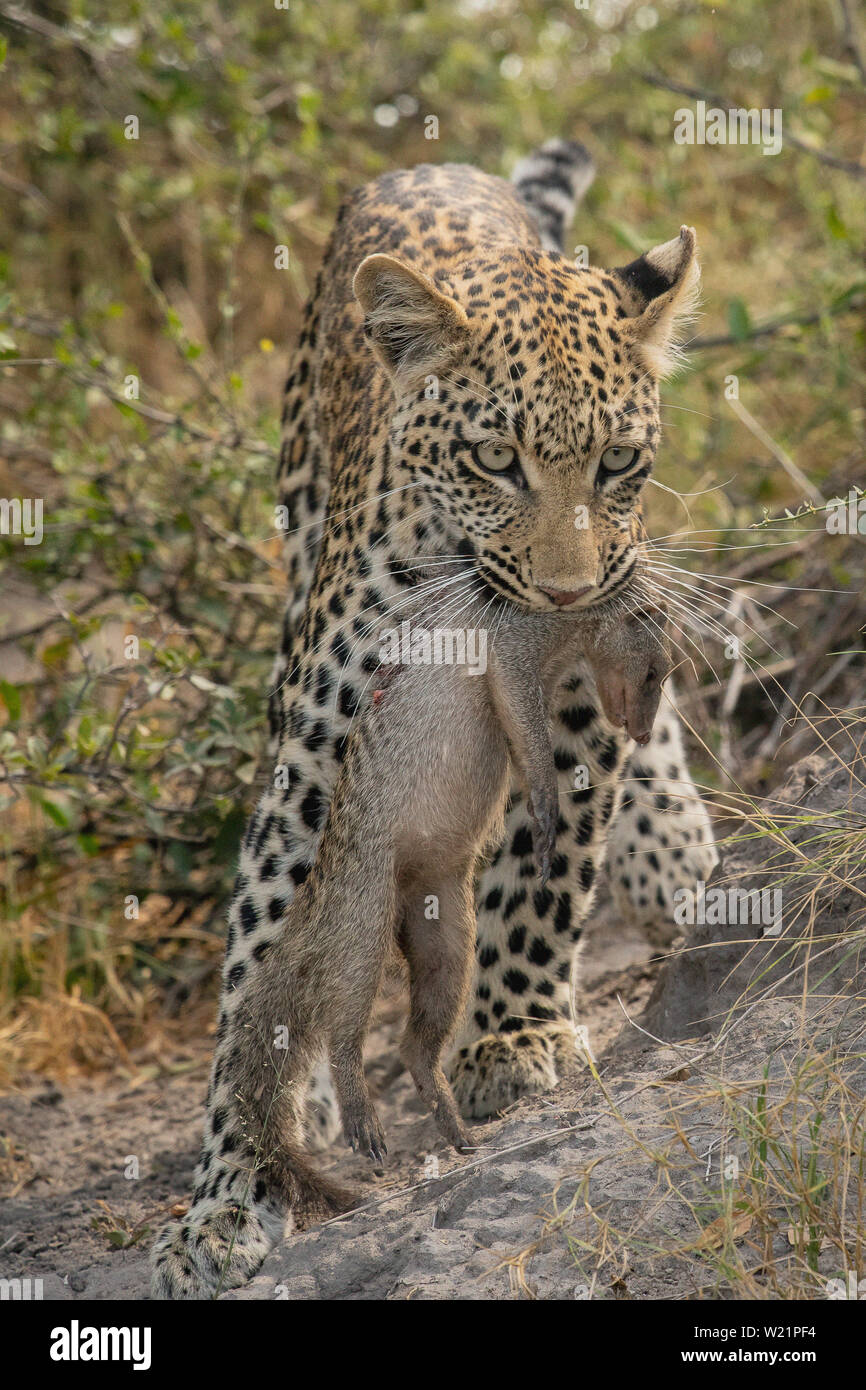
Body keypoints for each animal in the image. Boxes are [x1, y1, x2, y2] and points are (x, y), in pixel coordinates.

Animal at [150, 138, 717, 1299]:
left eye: (617, 461)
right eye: (496, 460)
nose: (564, 589)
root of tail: (440, 164)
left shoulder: (574, 690)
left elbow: (546, 868)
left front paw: (510, 1034)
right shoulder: (318, 753)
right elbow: (258, 968)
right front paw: (232, 1190)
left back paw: (673, 852)